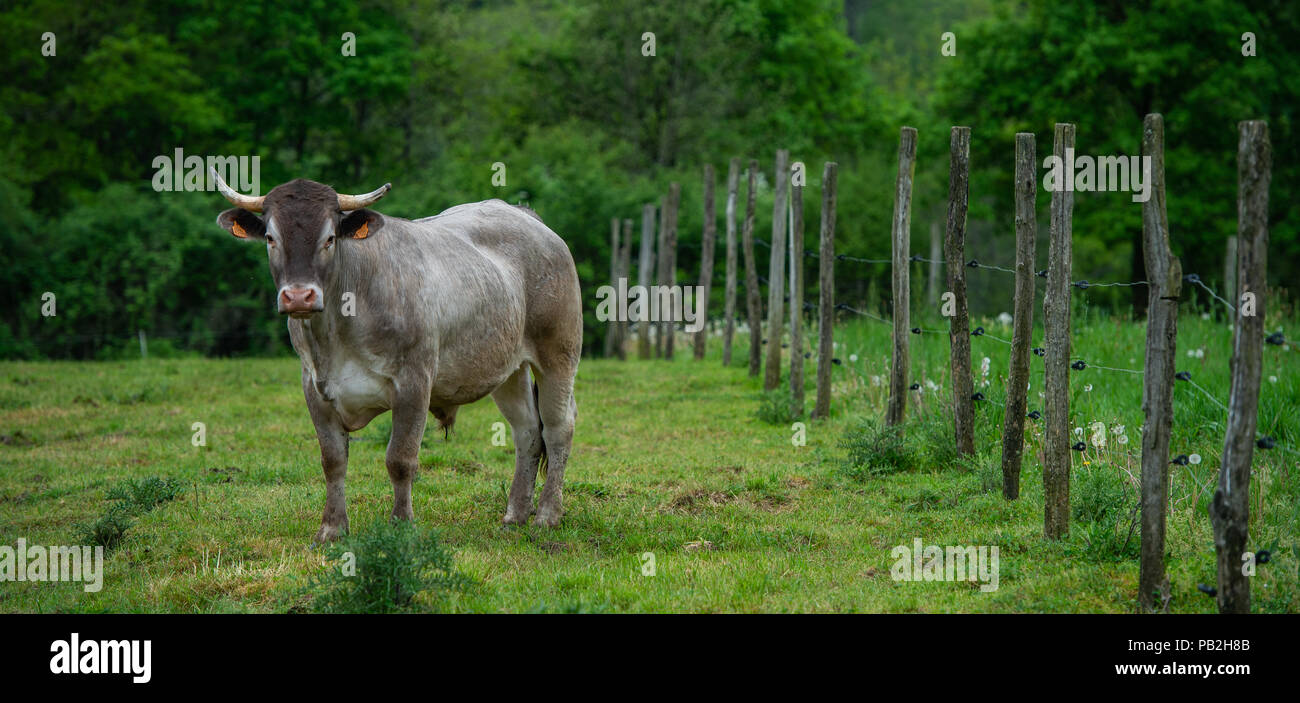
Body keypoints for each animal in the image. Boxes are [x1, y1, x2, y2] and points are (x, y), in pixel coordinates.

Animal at [209, 170, 582, 541]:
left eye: (329, 238)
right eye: (270, 237)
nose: (299, 297)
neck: (337, 332)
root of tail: (524, 216)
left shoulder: (413, 383)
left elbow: (400, 460)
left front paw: (401, 524)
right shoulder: (314, 387)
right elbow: (333, 461)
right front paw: (332, 528)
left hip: (559, 355)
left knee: (557, 428)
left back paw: (547, 515)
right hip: (508, 369)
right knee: (527, 431)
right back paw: (514, 514)